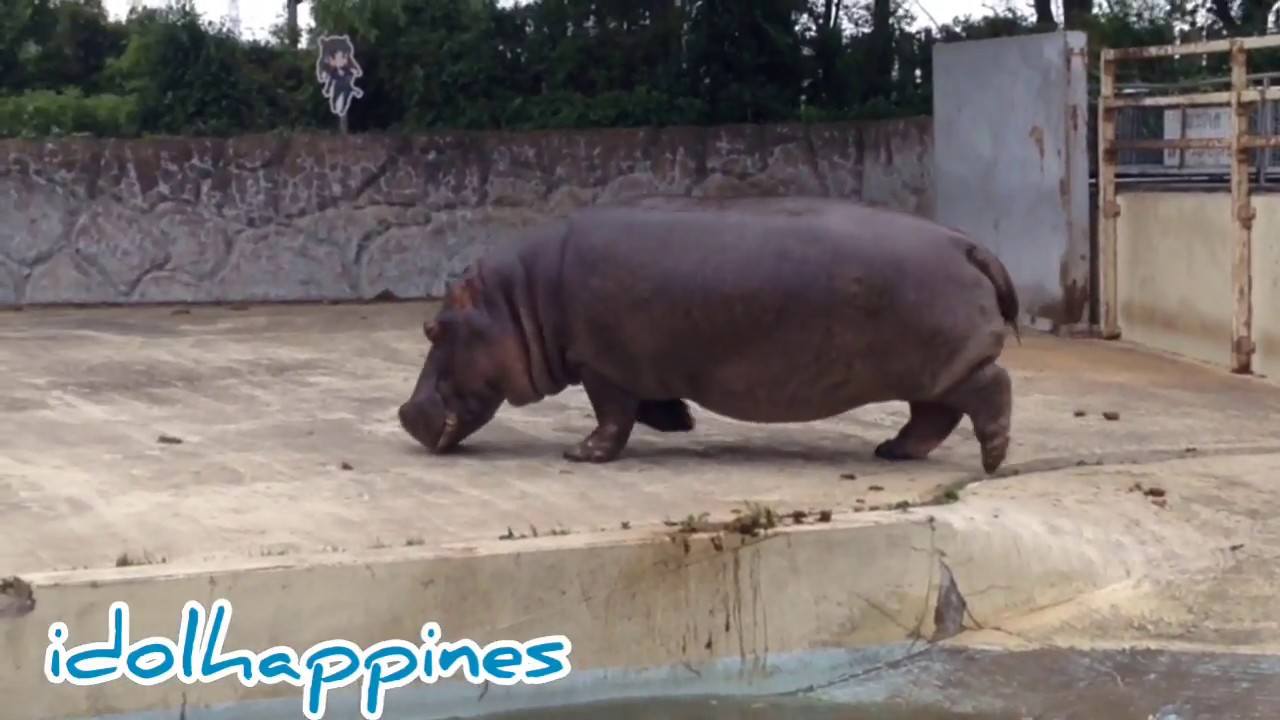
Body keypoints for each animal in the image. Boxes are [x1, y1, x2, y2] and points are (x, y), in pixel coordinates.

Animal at [397, 195, 1020, 474]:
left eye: (432, 327)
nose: (403, 414)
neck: (518, 299)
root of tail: (966, 243)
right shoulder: (630, 365)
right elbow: (646, 402)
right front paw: (679, 419)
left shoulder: (600, 364)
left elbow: (611, 414)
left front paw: (581, 454)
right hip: (929, 371)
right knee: (933, 416)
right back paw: (892, 451)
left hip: (946, 364)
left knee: (991, 388)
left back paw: (991, 459)